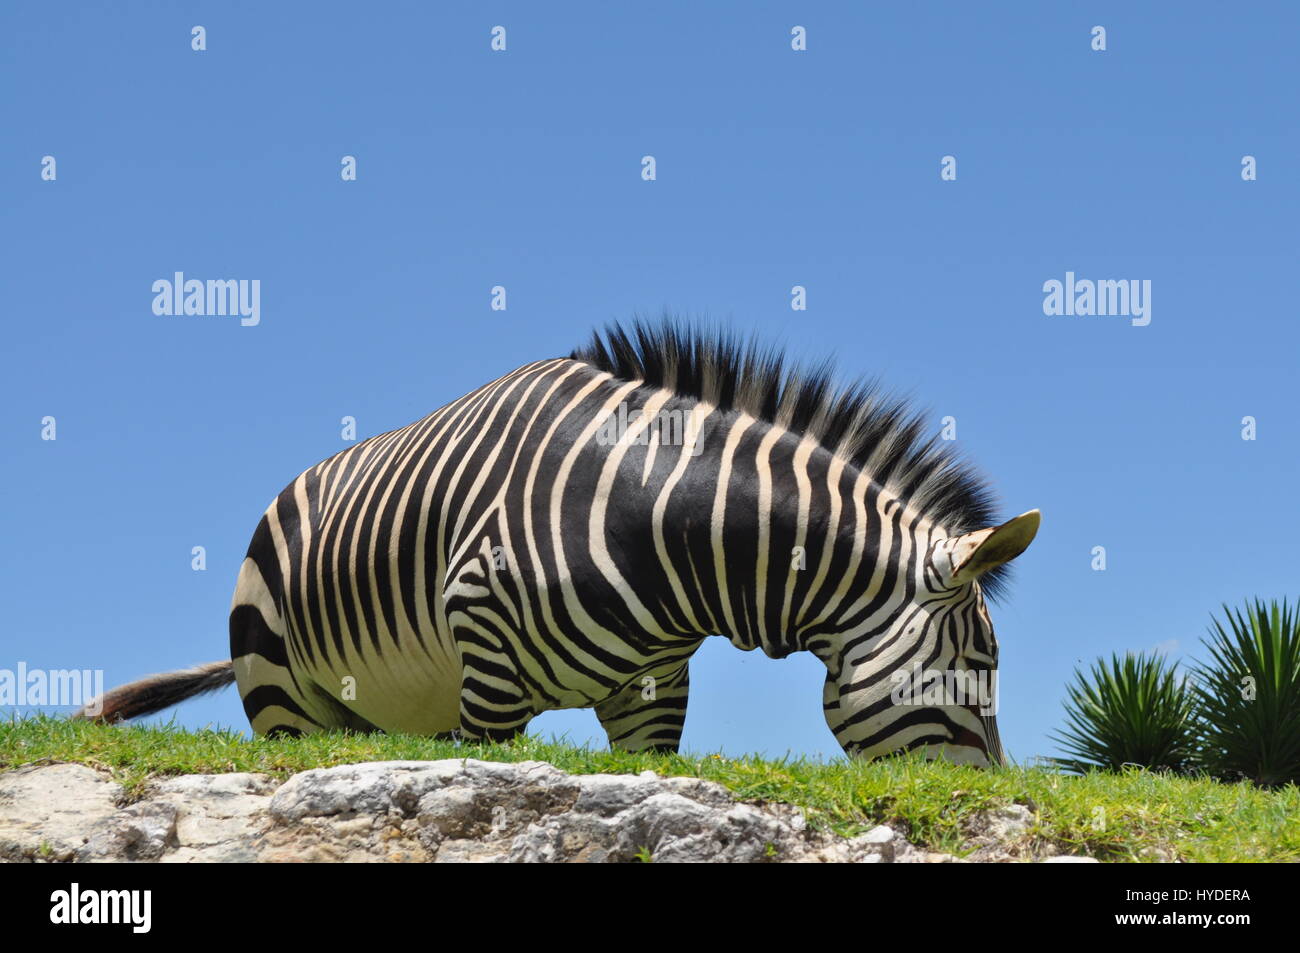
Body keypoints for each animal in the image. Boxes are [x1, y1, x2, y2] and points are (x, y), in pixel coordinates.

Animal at [78, 320, 1039, 766]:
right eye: (982, 666)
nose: (995, 782)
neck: (659, 525)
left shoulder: (652, 693)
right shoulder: (489, 680)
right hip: (285, 700)